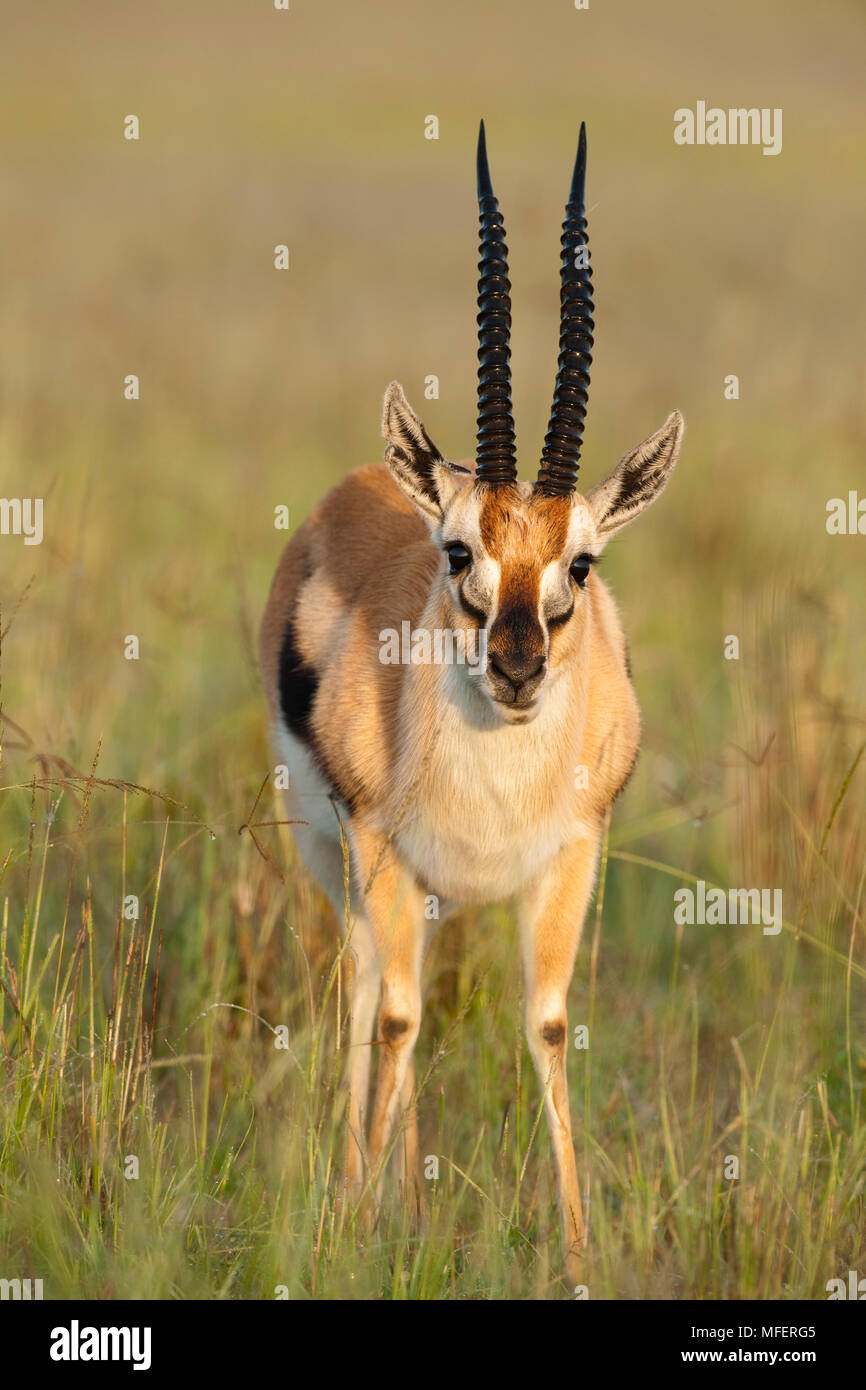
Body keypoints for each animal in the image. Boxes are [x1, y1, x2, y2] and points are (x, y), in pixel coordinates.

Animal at [259, 121, 684, 1285]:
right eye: (459, 551)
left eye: (580, 562)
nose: (518, 667)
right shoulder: (380, 849)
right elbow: (398, 1018)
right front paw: (361, 1231)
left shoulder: (573, 854)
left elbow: (546, 1027)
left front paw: (578, 1256)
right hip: (341, 861)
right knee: (371, 993)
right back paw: (370, 1200)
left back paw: (404, 1200)